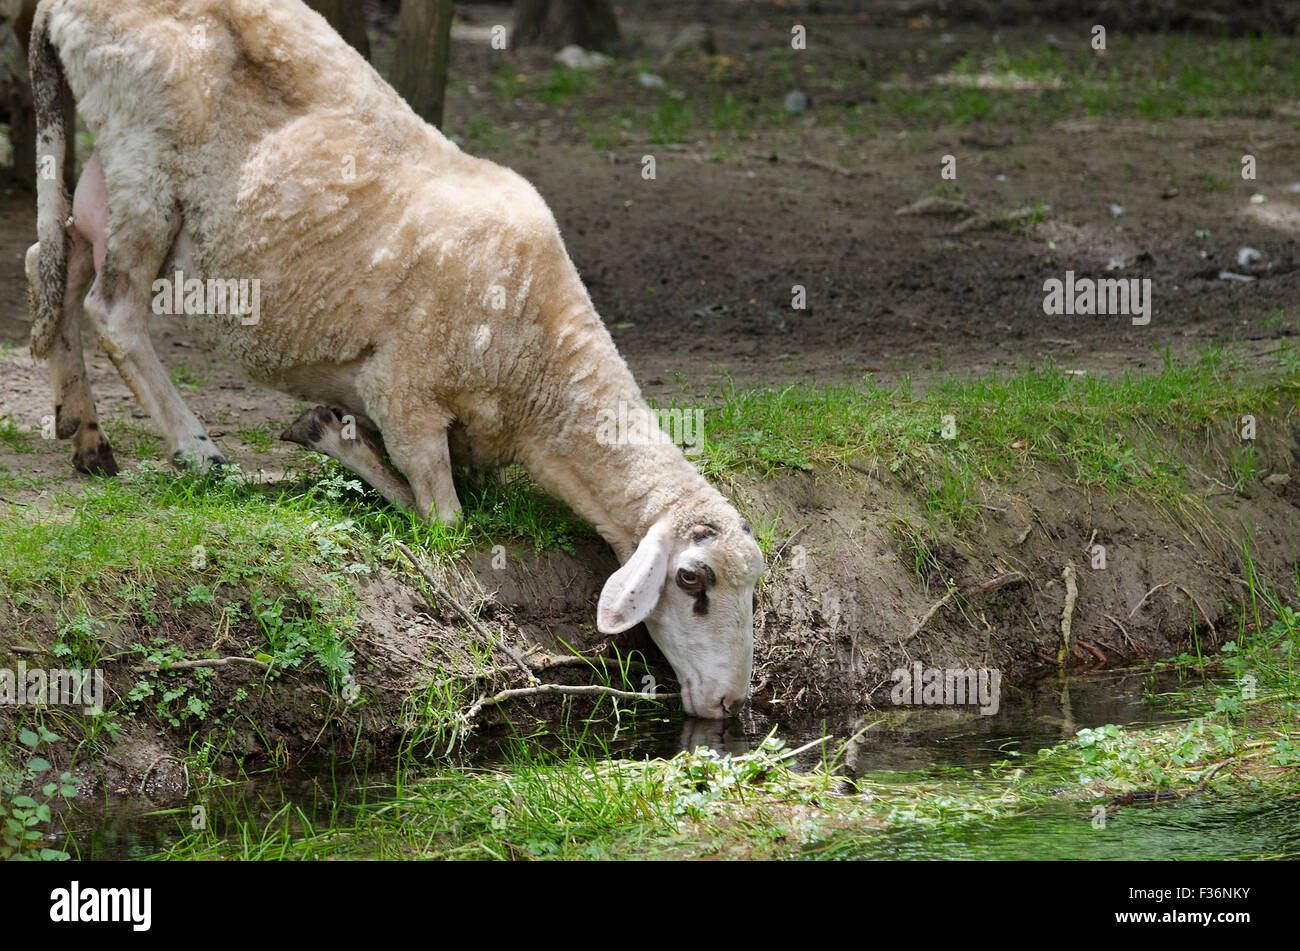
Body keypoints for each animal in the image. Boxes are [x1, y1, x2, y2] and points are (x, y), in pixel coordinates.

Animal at [25, 0, 765, 719]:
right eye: (693, 580)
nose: (731, 704)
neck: (540, 379)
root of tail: (60, 6)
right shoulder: (402, 390)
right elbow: (443, 518)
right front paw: (330, 436)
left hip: (115, 174)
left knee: (52, 262)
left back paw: (85, 434)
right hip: (144, 155)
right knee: (110, 307)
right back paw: (197, 451)